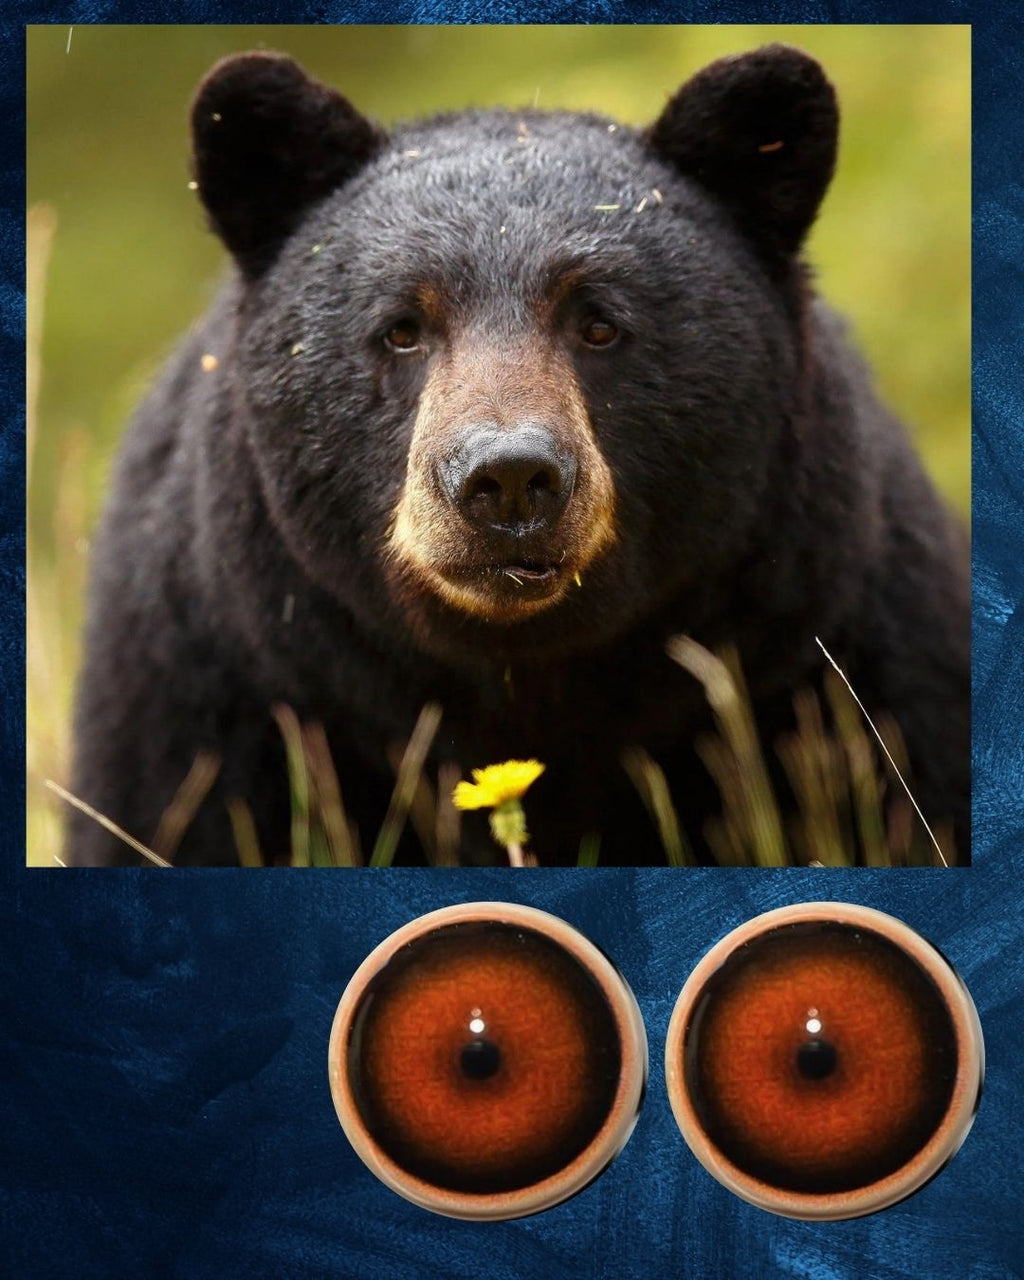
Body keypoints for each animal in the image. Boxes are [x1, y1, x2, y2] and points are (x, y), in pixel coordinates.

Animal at [66, 45, 969, 867]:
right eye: (401, 328)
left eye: (599, 322)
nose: (507, 479)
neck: (521, 686)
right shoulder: (208, 692)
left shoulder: (845, 665)